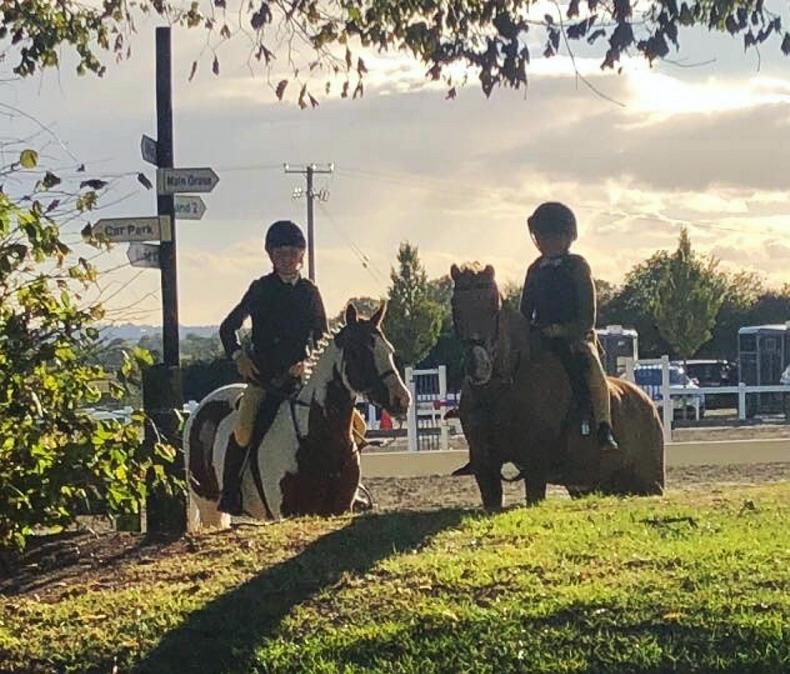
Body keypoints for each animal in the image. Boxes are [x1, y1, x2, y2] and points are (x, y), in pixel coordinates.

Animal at [183, 302, 411, 531]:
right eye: (357, 352)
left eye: (389, 350)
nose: (402, 399)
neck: (319, 439)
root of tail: (198, 409)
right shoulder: (289, 512)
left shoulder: (339, 509)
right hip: (208, 506)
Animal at [450, 263, 665, 510]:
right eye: (455, 306)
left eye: (494, 307)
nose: (477, 365)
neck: (499, 392)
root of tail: (647, 402)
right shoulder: (485, 467)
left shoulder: (535, 466)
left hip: (650, 484)